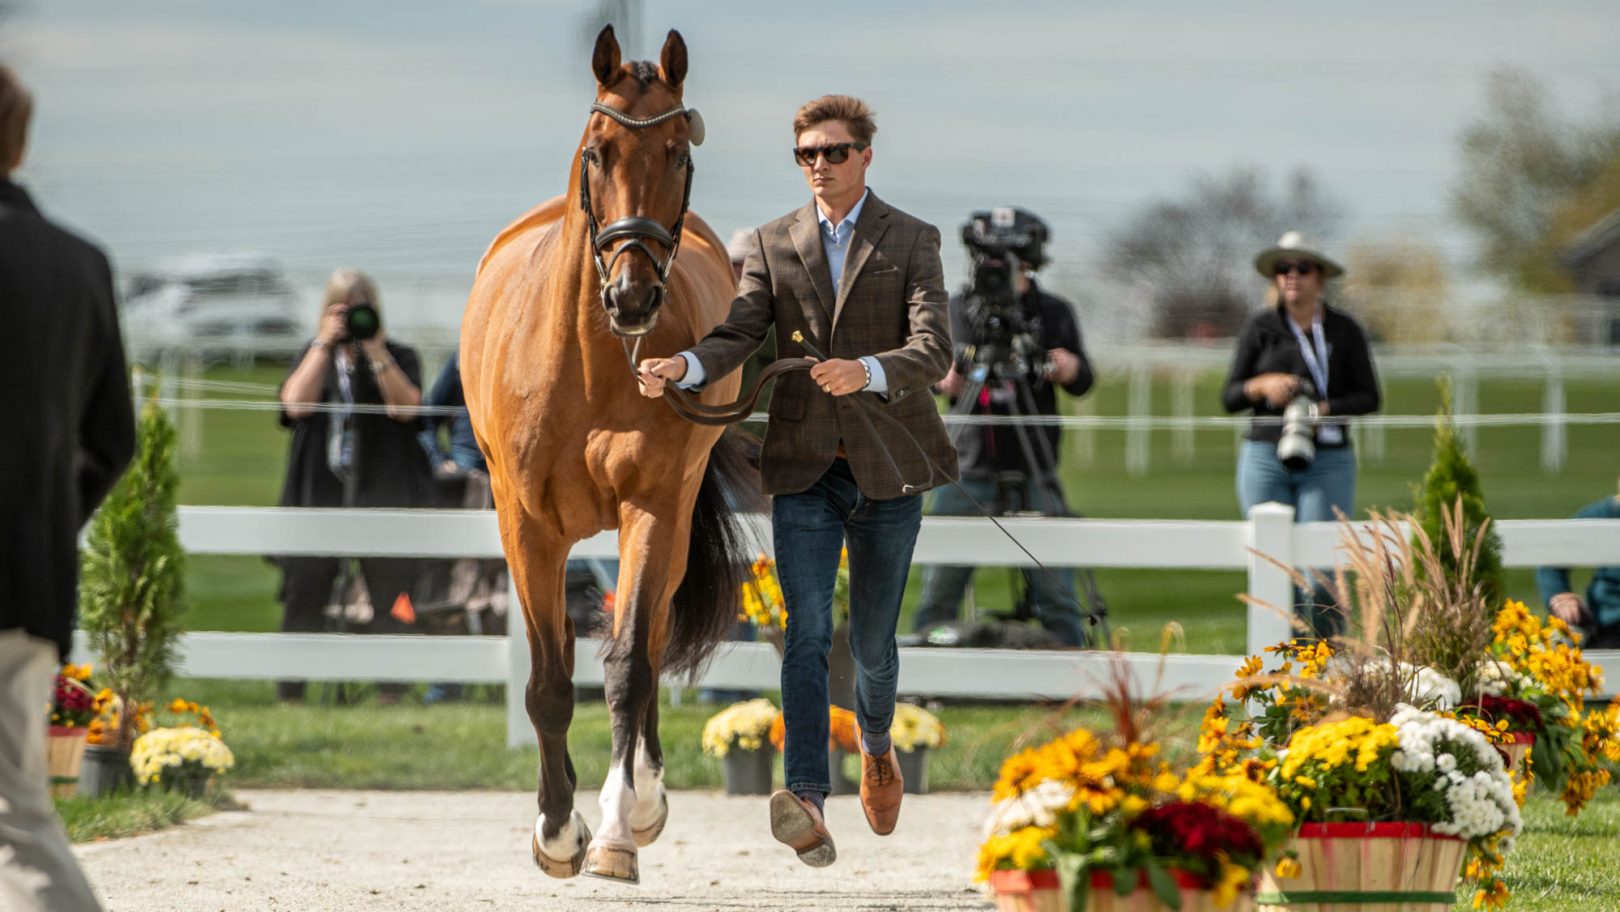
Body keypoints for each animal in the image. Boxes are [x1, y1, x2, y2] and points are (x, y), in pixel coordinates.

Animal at [460, 25, 755, 884]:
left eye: (679, 155)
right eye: (598, 151)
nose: (632, 296)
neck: (593, 362)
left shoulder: (652, 509)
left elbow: (628, 665)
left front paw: (620, 827)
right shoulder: (527, 526)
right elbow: (548, 683)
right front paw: (558, 832)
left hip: (674, 521)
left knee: (647, 639)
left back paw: (645, 799)